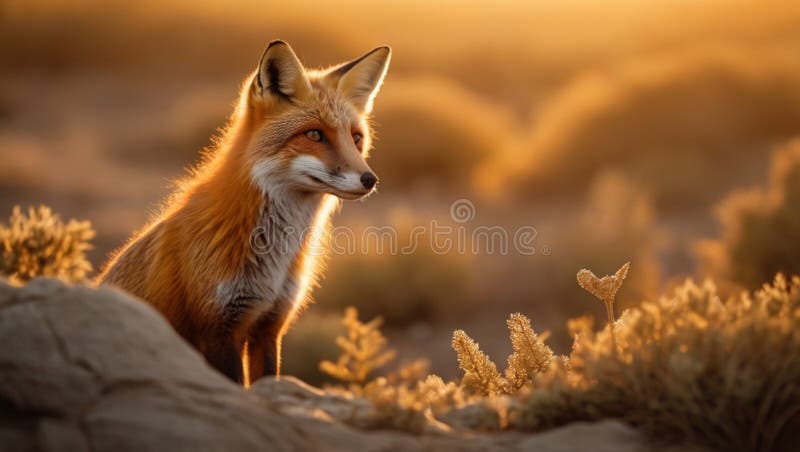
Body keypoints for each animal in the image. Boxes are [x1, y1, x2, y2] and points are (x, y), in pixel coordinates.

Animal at [97, 40, 391, 386]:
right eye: (314, 134)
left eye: (356, 138)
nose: (370, 179)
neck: (273, 259)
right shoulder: (218, 328)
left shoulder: (270, 327)